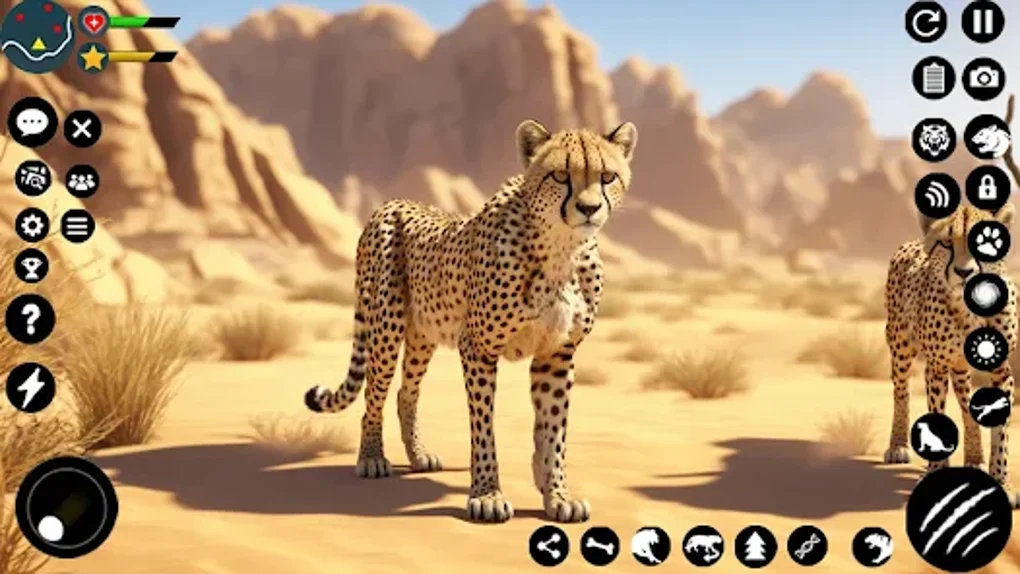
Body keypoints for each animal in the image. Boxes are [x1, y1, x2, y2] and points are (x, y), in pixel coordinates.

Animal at [304, 118, 638, 523]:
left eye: (607, 176)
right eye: (560, 175)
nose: (589, 208)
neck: (562, 248)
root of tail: (391, 202)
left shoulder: (557, 354)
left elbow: (553, 432)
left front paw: (557, 495)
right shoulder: (478, 348)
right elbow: (484, 429)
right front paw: (488, 495)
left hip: (423, 334)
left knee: (406, 391)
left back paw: (418, 455)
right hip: (385, 328)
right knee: (374, 391)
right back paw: (371, 457)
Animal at [883, 202, 1019, 507]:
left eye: (984, 245)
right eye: (946, 243)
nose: (963, 272)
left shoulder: (1001, 371)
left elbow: (1001, 432)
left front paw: (1001, 482)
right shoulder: (937, 366)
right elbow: (937, 414)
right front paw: (935, 473)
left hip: (959, 368)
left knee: (967, 403)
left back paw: (975, 458)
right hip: (901, 345)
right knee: (901, 391)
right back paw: (898, 445)